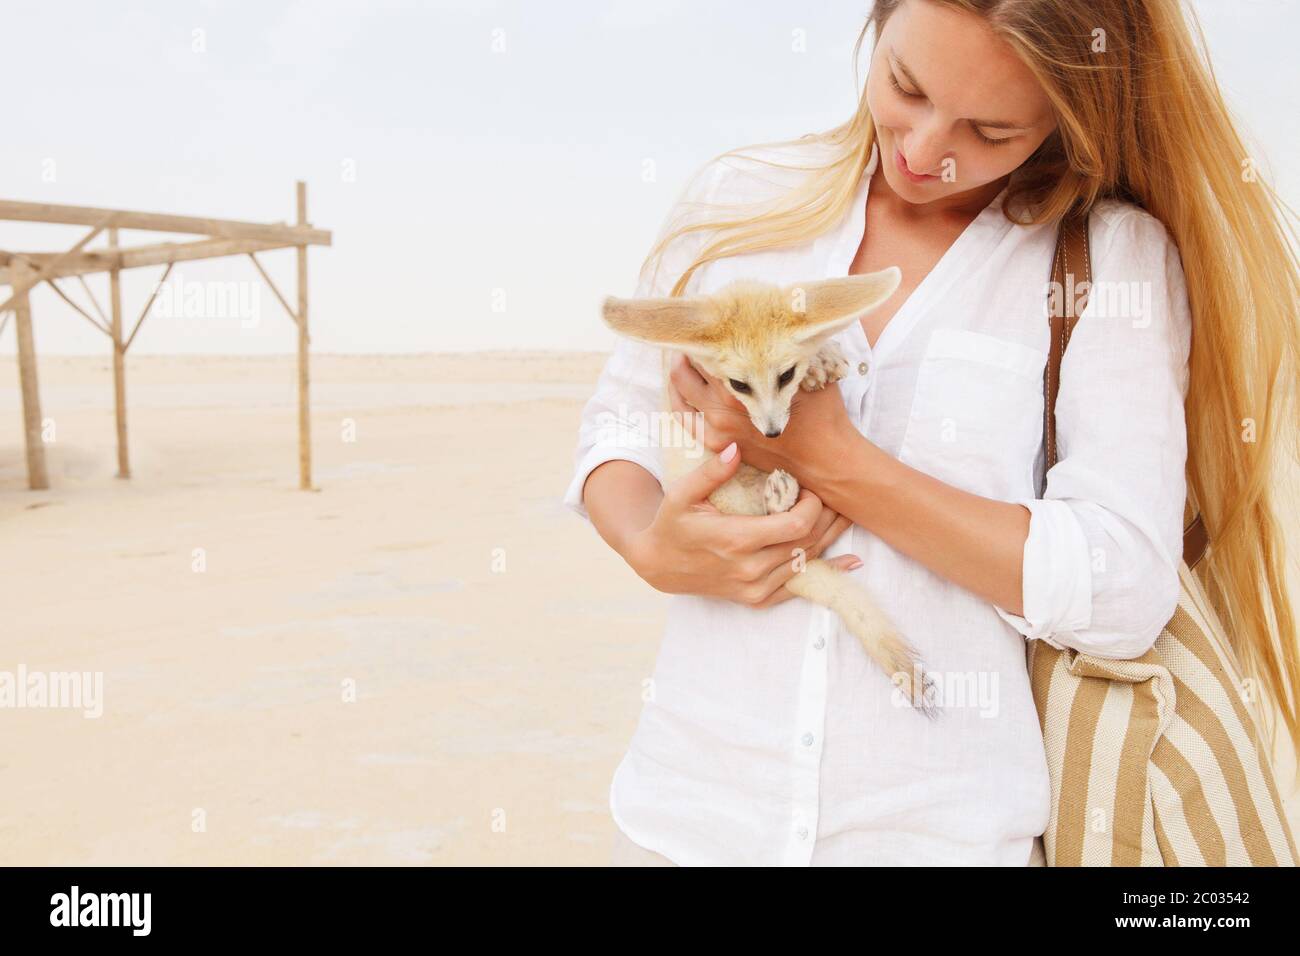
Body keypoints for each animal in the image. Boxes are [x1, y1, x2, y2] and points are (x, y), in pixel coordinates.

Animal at [601, 266, 937, 717]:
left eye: (785, 376)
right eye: (739, 385)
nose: (773, 433)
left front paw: (822, 358)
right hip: (721, 488)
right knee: (759, 513)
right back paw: (778, 496)